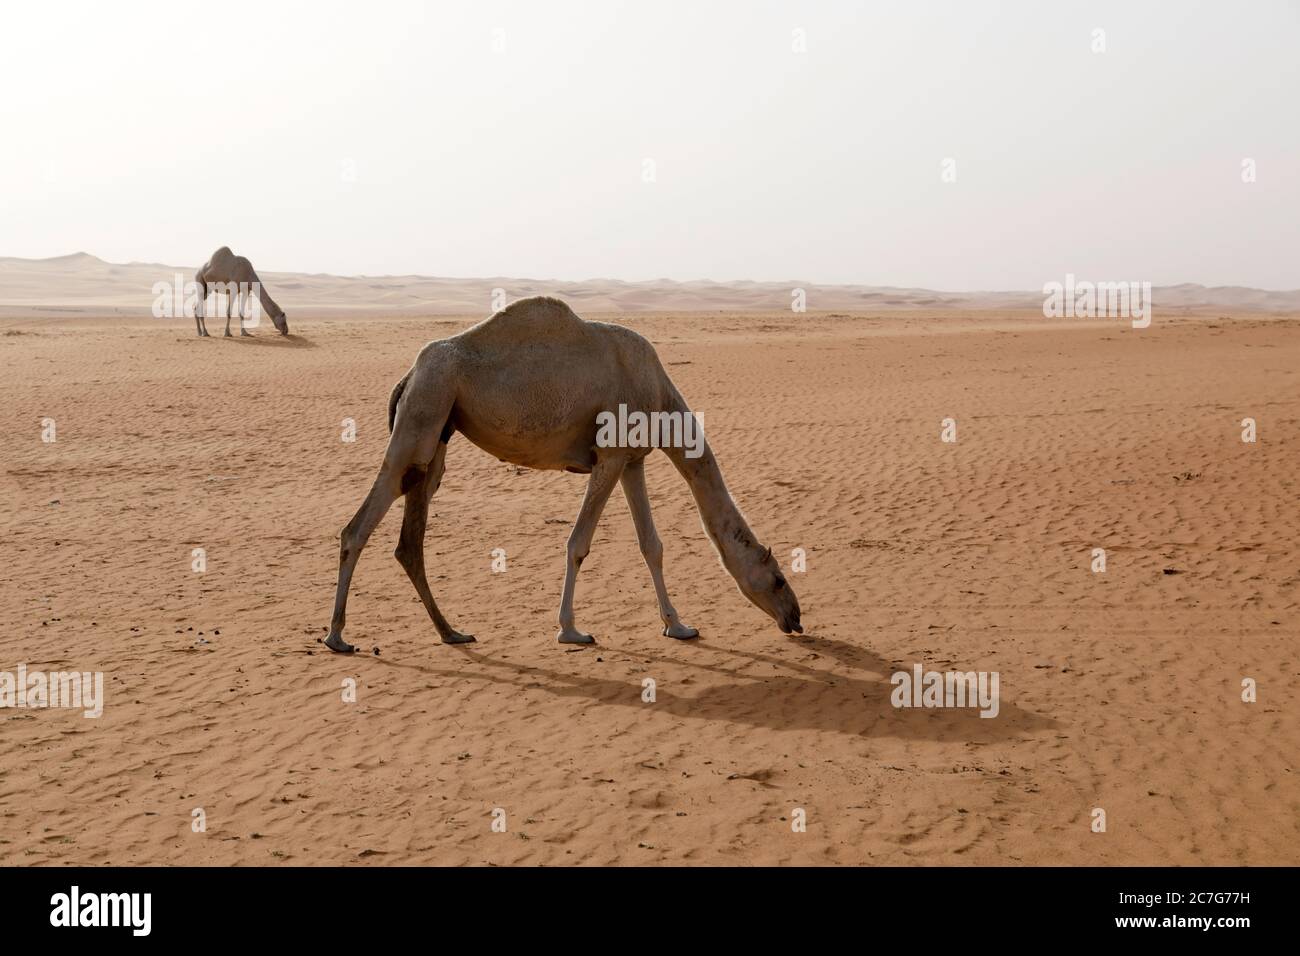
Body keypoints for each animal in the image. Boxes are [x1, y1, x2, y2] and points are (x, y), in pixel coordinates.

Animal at [324, 296, 801, 652]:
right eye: (778, 579)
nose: (796, 617)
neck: (661, 398)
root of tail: (408, 374)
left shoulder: (633, 460)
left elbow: (652, 545)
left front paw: (678, 625)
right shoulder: (609, 454)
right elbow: (579, 543)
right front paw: (571, 630)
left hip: (439, 426)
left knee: (410, 536)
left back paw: (451, 632)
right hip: (426, 407)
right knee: (362, 522)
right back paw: (337, 637)